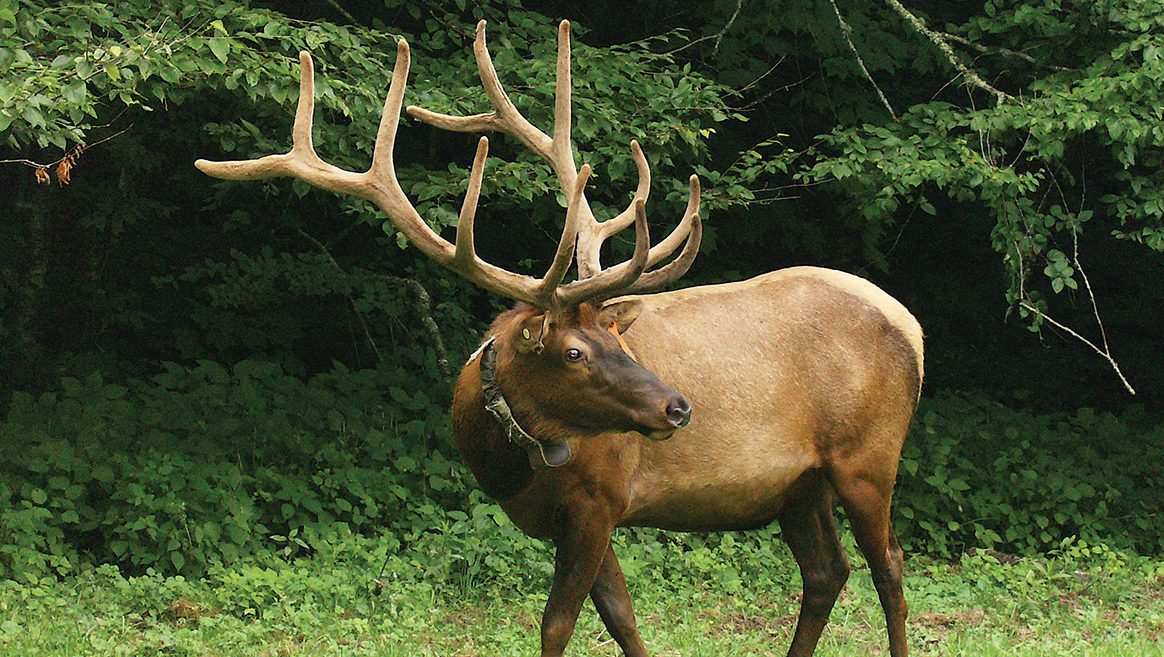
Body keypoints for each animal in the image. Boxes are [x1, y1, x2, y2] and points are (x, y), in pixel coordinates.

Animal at [196, 20, 923, 657]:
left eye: (620, 345)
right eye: (575, 352)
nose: (678, 407)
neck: (504, 461)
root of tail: (912, 327)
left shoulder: (601, 498)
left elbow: (558, 624)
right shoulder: (564, 518)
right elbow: (622, 618)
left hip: (867, 456)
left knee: (889, 565)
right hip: (799, 483)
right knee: (827, 571)